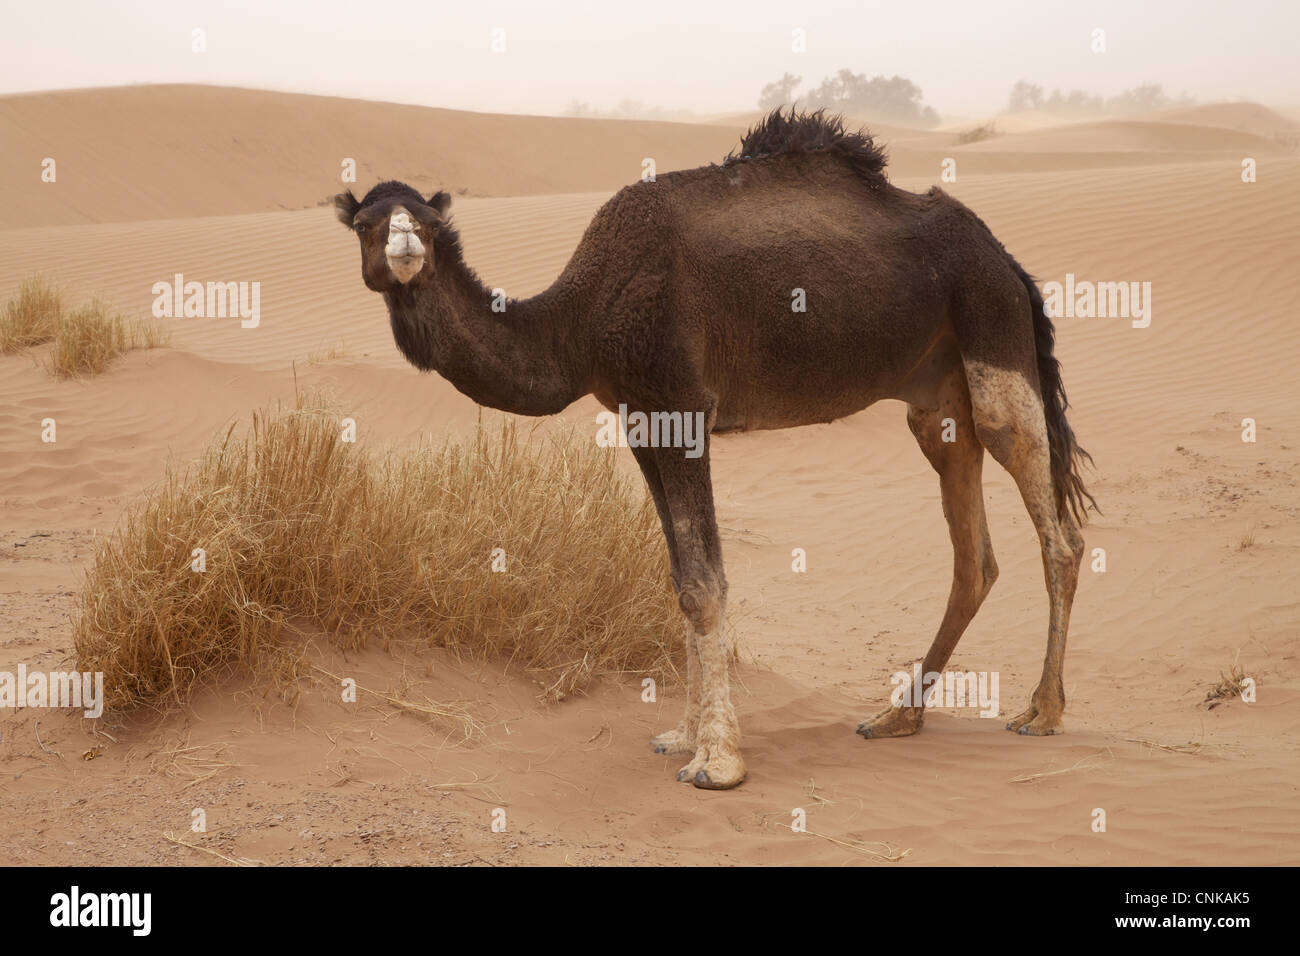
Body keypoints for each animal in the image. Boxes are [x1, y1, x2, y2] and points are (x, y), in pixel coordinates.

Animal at [335, 108, 1096, 790]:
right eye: (368, 224)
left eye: (429, 225)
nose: (406, 252)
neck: (583, 319)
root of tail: (1006, 260)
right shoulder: (643, 421)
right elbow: (680, 579)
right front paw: (680, 734)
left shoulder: (683, 406)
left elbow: (706, 583)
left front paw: (717, 760)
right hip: (936, 401)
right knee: (974, 556)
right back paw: (897, 717)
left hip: (990, 330)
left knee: (1056, 530)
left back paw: (1044, 711)